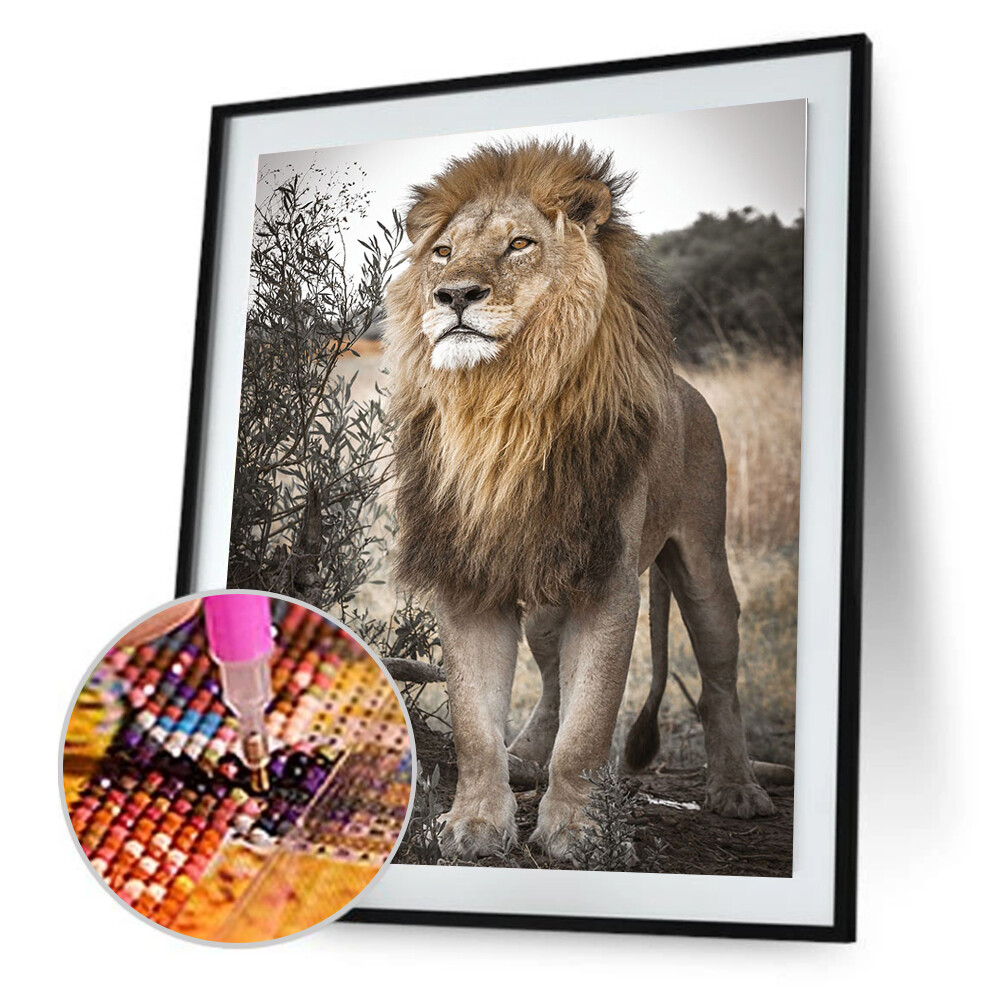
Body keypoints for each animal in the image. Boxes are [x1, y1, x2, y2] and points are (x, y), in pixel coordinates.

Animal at [385, 139, 775, 861]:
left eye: (520, 244)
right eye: (443, 252)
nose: (453, 295)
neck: (503, 408)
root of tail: (686, 386)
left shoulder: (610, 583)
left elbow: (591, 722)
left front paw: (575, 832)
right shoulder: (469, 576)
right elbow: (476, 722)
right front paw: (474, 825)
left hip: (703, 563)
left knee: (719, 679)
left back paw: (736, 788)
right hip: (545, 595)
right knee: (549, 682)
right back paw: (523, 757)